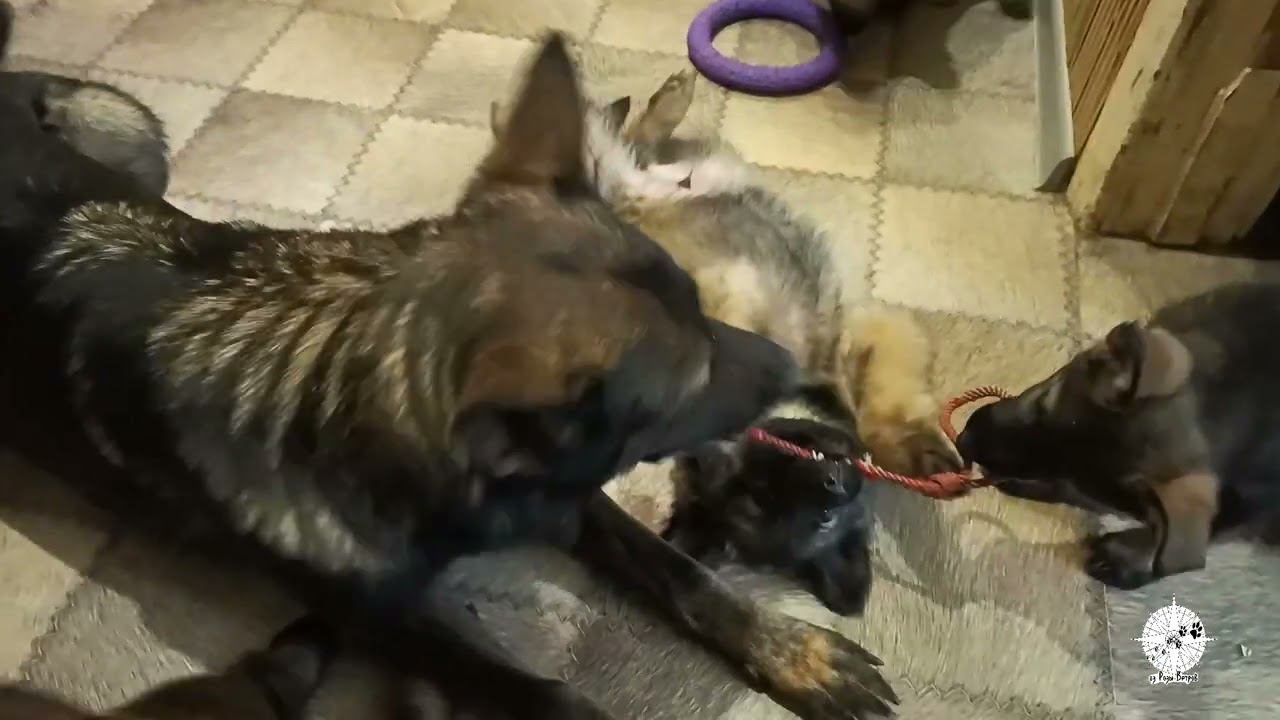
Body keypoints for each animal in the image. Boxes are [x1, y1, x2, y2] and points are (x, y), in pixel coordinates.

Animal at [956, 282, 1280, 590]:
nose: (964, 442)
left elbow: (1208, 528)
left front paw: (1126, 559)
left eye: (1068, 482)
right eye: (1044, 399)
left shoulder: (1256, 498)